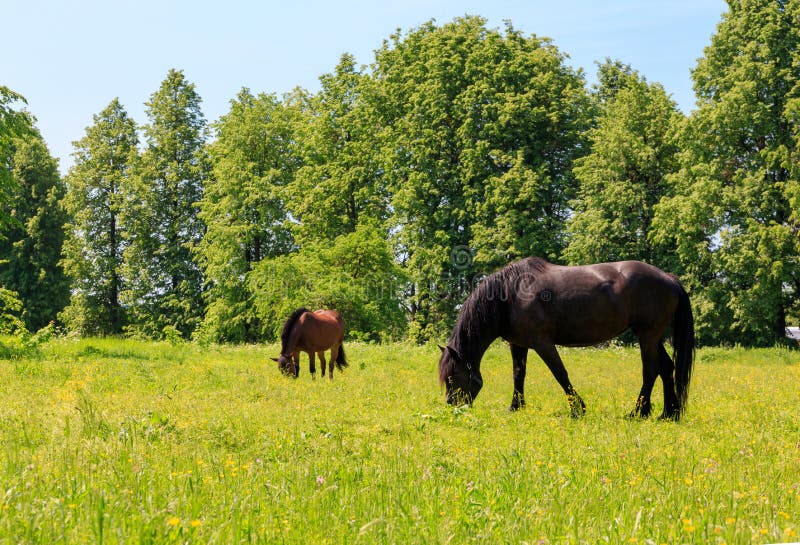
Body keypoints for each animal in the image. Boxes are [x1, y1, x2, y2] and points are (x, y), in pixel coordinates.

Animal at [438, 257, 695, 420]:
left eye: (451, 377)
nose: (452, 407)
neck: (510, 295)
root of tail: (668, 278)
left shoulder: (543, 343)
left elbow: (560, 374)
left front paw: (578, 409)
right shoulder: (518, 344)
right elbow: (518, 375)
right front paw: (515, 407)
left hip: (647, 335)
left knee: (650, 370)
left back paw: (638, 412)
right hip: (652, 336)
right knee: (666, 368)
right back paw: (668, 413)